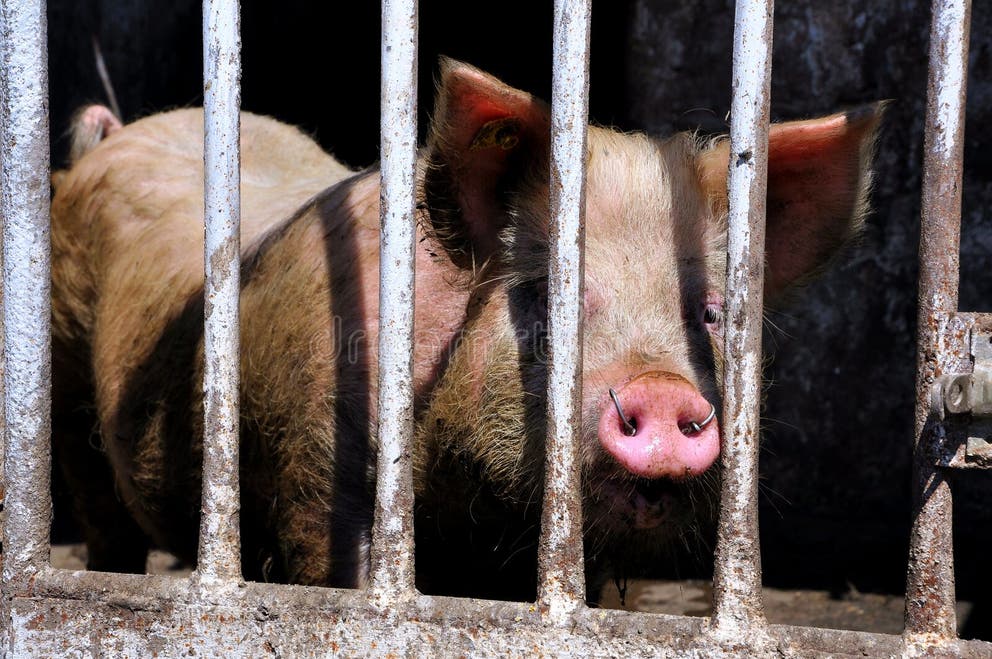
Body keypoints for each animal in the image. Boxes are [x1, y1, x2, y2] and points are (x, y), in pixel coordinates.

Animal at [50, 59, 881, 602]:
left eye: (707, 311)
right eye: (546, 295)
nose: (662, 387)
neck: (475, 511)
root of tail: (115, 136)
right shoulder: (320, 459)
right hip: (67, 374)